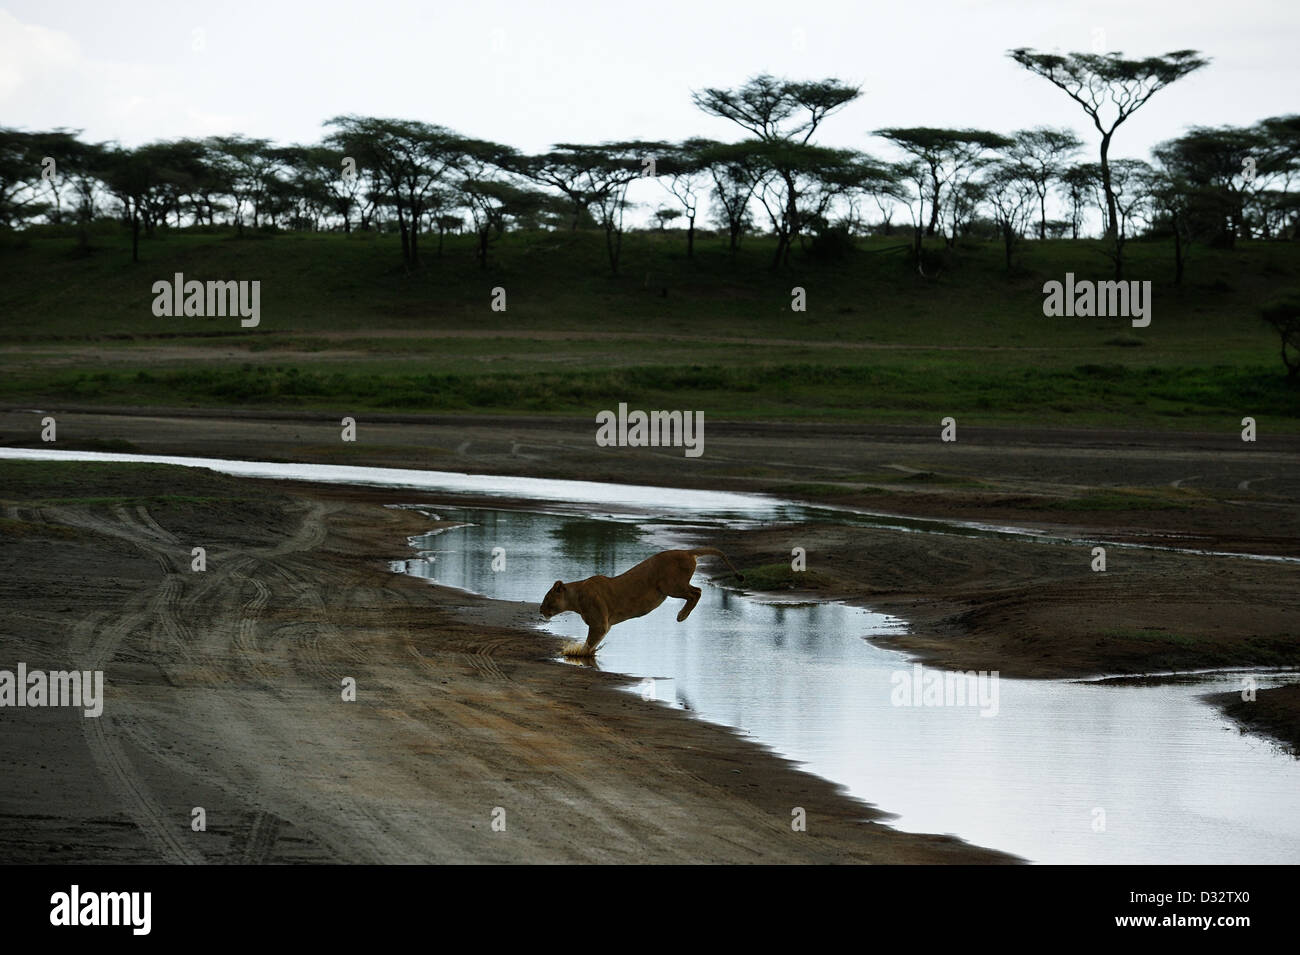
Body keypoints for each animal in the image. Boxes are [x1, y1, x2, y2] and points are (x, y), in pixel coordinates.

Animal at [540, 548, 744, 657]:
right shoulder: (603, 624)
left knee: (697, 592)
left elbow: (590, 642)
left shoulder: (599, 622)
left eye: (547, 598)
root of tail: (686, 551)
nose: (540, 609)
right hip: (672, 587)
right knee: (697, 591)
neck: (576, 597)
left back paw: (681, 616)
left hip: (671, 586)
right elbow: (594, 642)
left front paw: (579, 653)